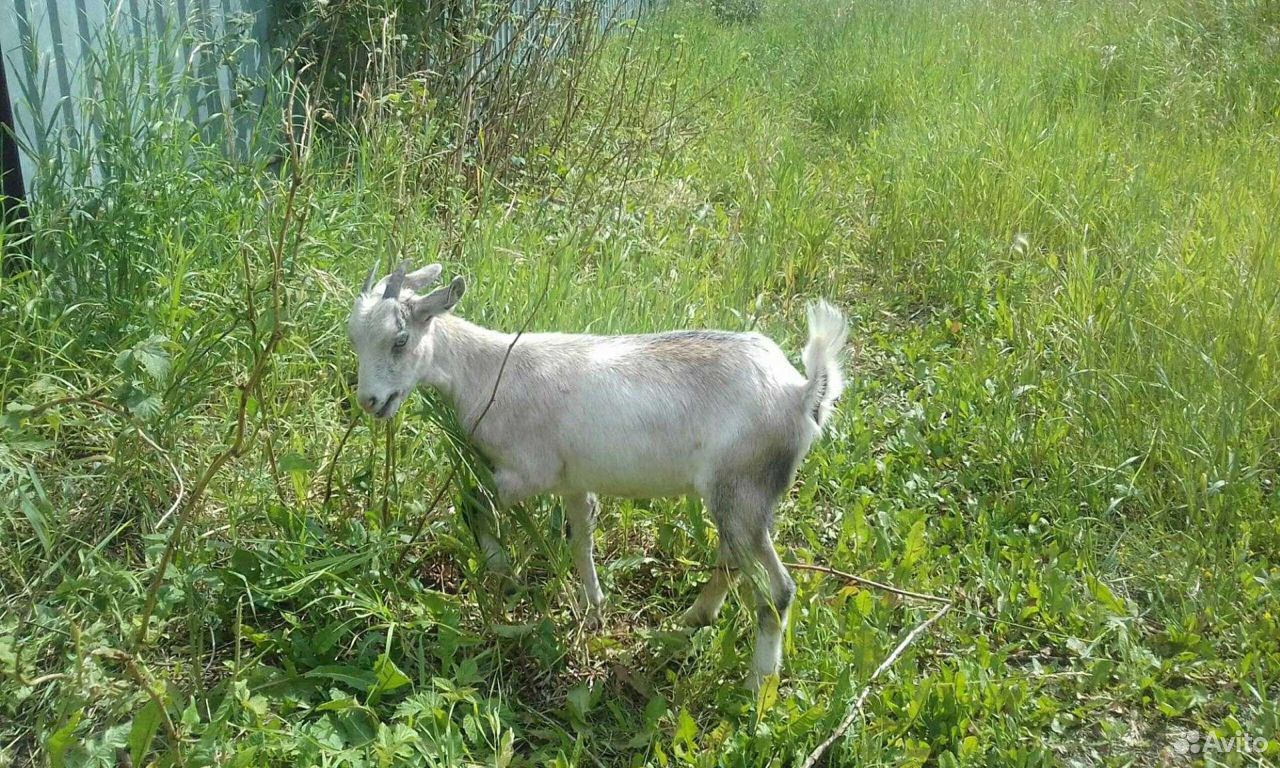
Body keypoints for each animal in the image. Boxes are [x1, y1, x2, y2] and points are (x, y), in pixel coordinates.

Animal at [347, 260, 849, 689]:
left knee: (776, 591)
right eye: (354, 339)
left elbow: (472, 504)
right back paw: (691, 620)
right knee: (732, 560)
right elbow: (580, 539)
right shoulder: (574, 481)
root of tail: (802, 394)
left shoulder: (527, 472)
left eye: (399, 339)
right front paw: (594, 610)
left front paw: (502, 569)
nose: (370, 401)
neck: (489, 371)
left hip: (743, 489)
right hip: (738, 497)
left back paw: (757, 687)